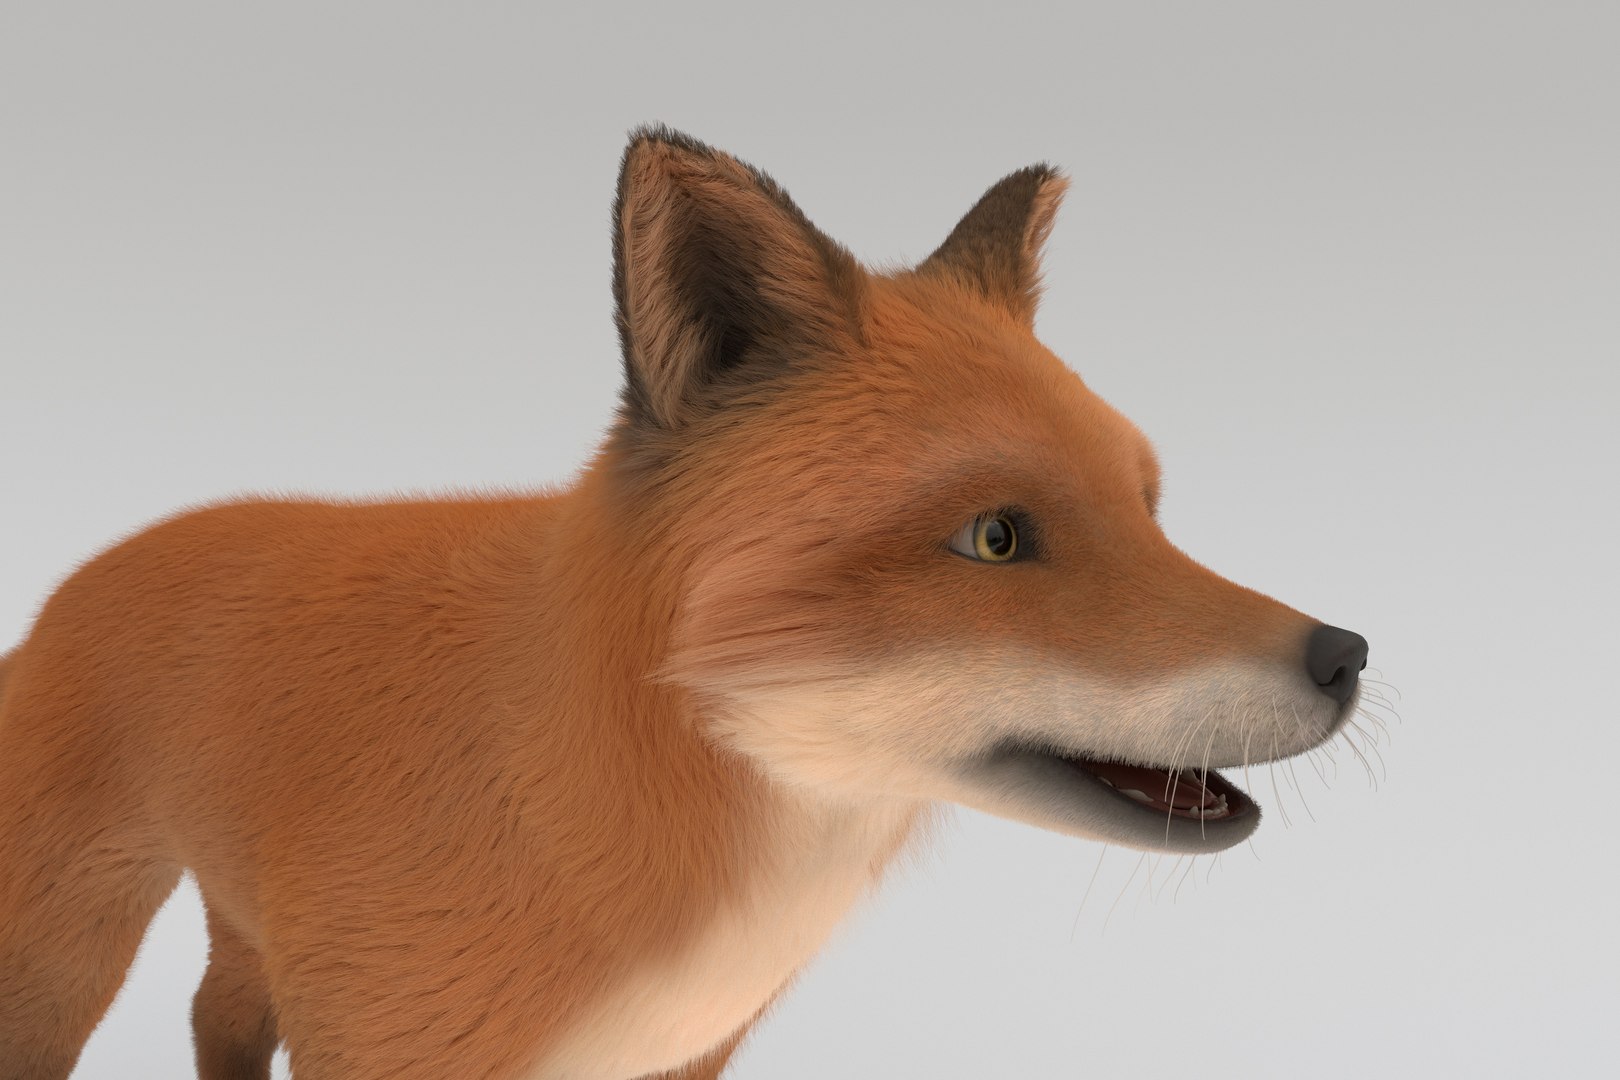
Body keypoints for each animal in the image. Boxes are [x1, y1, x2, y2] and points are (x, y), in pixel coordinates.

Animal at [0, 126, 1369, 1080]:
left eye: (1149, 507)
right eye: (997, 537)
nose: (1348, 654)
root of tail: (107, 554)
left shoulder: (681, 1055)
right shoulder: (380, 1044)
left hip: (232, 929)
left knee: (215, 1013)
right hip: (57, 961)